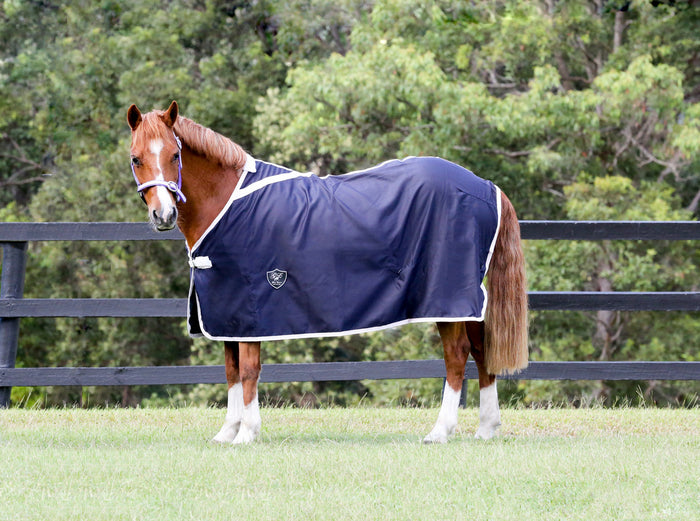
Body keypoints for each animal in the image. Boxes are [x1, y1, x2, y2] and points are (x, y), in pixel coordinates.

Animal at [127, 101, 528, 444]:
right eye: (136, 159)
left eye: (175, 155)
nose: (163, 215)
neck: (227, 202)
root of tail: (485, 186)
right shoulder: (226, 311)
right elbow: (230, 370)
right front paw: (228, 432)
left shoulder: (251, 310)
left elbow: (249, 369)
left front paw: (247, 434)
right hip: (466, 299)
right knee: (482, 349)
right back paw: (486, 428)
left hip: (447, 297)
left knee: (457, 355)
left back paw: (440, 431)